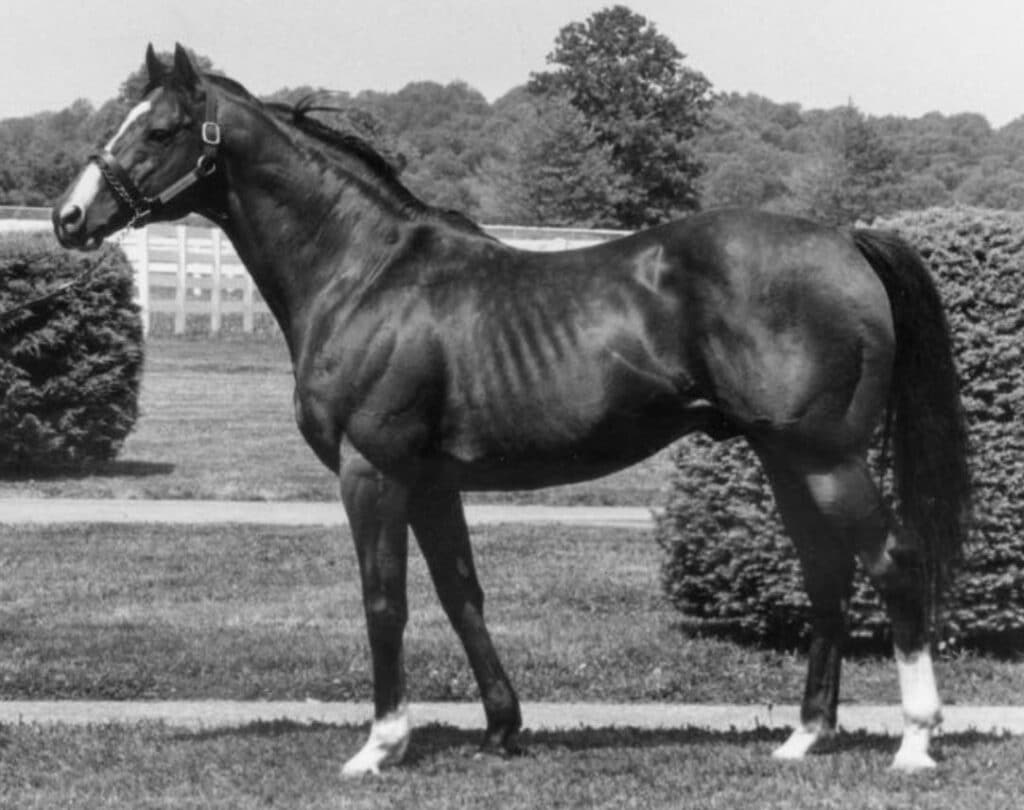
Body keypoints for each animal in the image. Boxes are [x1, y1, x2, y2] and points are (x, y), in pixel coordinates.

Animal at [52, 44, 970, 775]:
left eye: (163, 129)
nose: (70, 217)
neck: (366, 273)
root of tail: (845, 240)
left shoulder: (372, 472)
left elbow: (384, 601)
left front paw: (380, 745)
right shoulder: (431, 482)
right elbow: (463, 594)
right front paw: (503, 728)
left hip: (826, 458)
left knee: (894, 562)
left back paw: (916, 741)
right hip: (786, 459)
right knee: (826, 575)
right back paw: (805, 736)